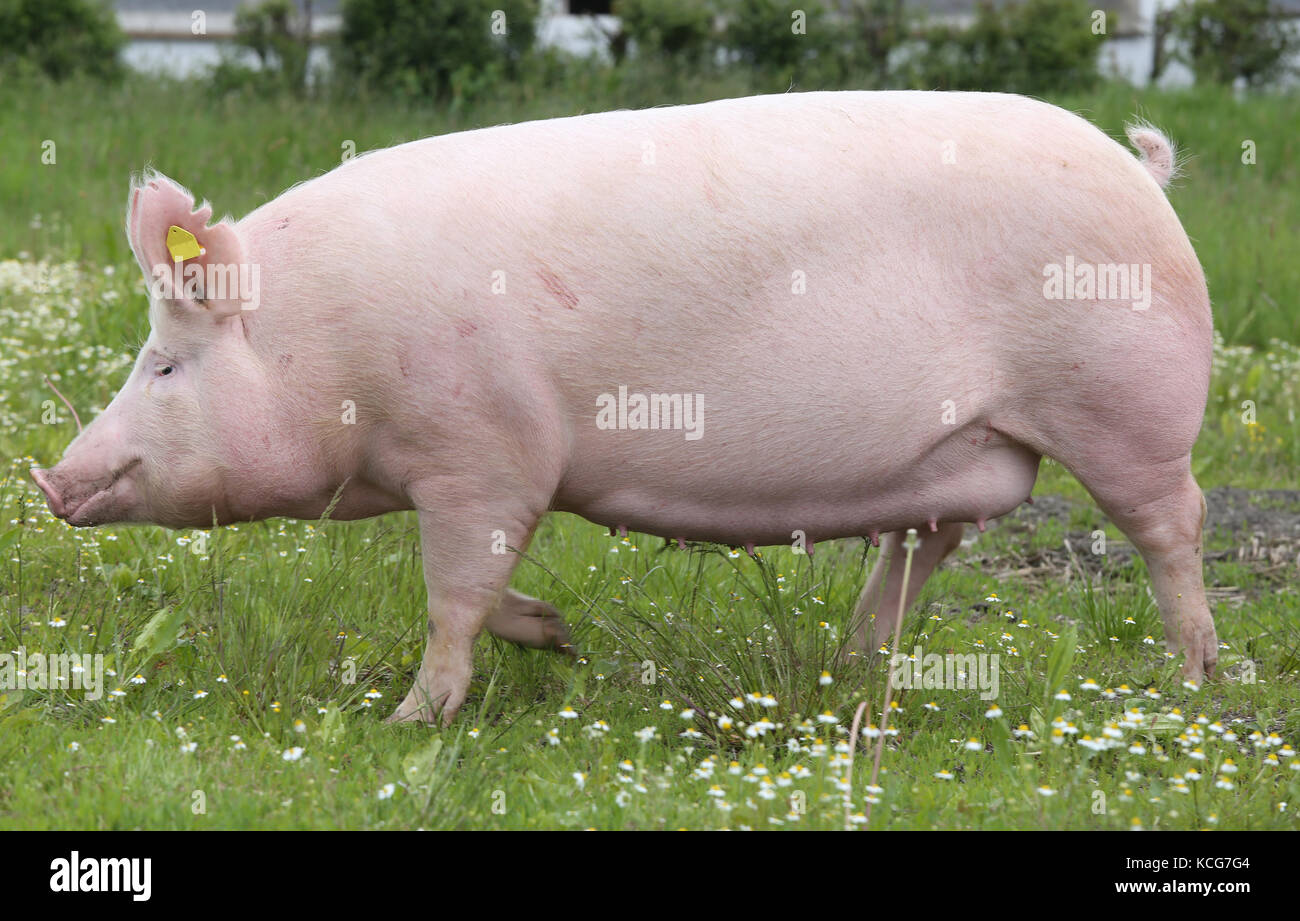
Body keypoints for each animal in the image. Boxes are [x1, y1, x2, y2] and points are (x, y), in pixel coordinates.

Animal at [32, 91, 1219, 725]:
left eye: (164, 366)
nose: (49, 478)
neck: (323, 350)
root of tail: (1144, 176)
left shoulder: (485, 453)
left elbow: (454, 594)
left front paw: (411, 717)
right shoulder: (488, 469)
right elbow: (488, 591)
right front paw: (558, 637)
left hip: (1130, 405)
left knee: (1173, 526)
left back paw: (1199, 676)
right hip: (962, 441)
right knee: (930, 536)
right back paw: (851, 662)